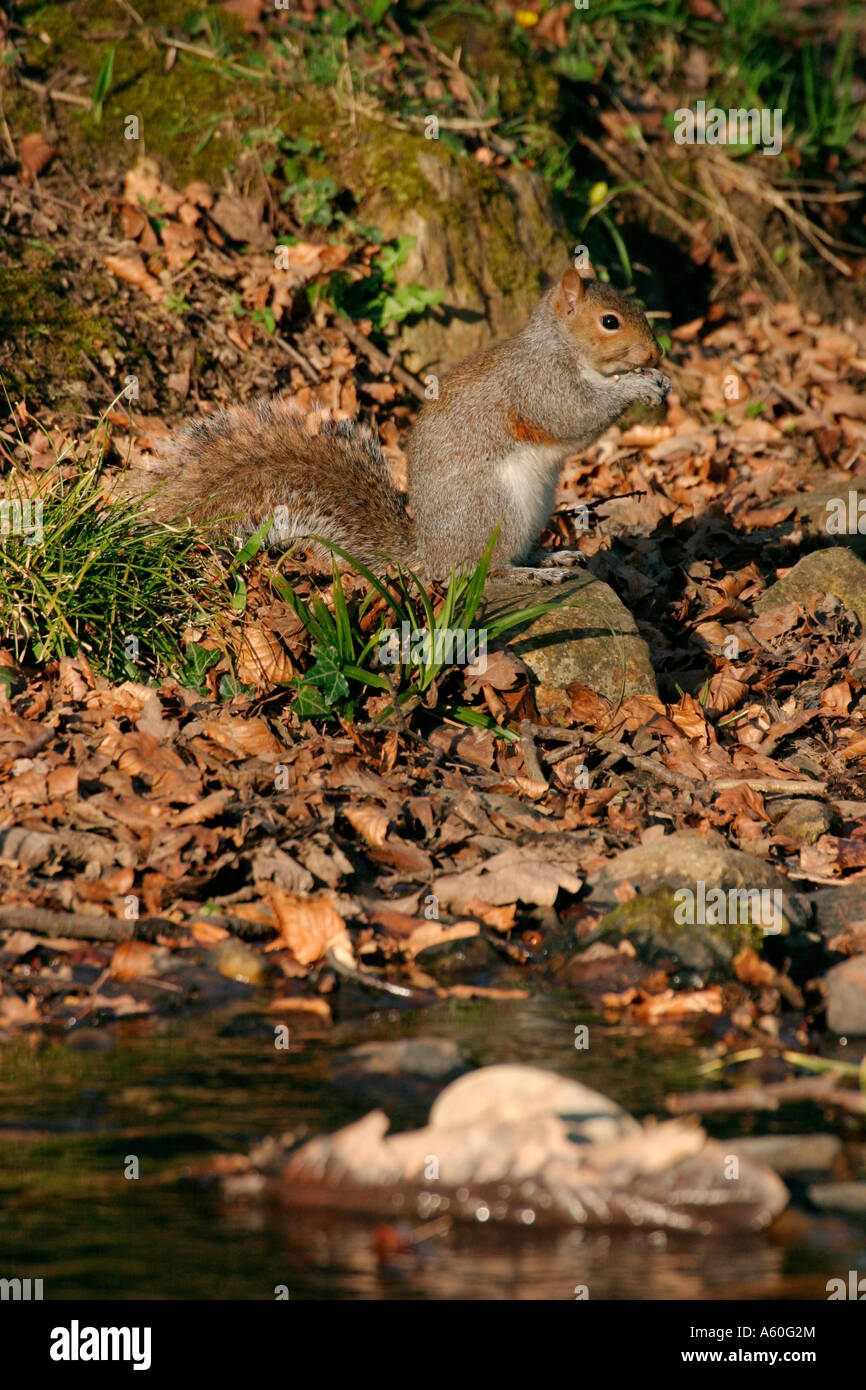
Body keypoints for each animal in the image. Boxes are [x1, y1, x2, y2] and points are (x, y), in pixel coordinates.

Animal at [143, 267, 670, 581]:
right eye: (609, 322)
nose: (656, 354)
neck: (559, 346)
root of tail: (428, 553)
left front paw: (652, 380)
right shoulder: (538, 385)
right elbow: (573, 417)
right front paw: (635, 387)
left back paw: (549, 555)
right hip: (494, 509)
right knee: (479, 572)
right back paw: (531, 573)